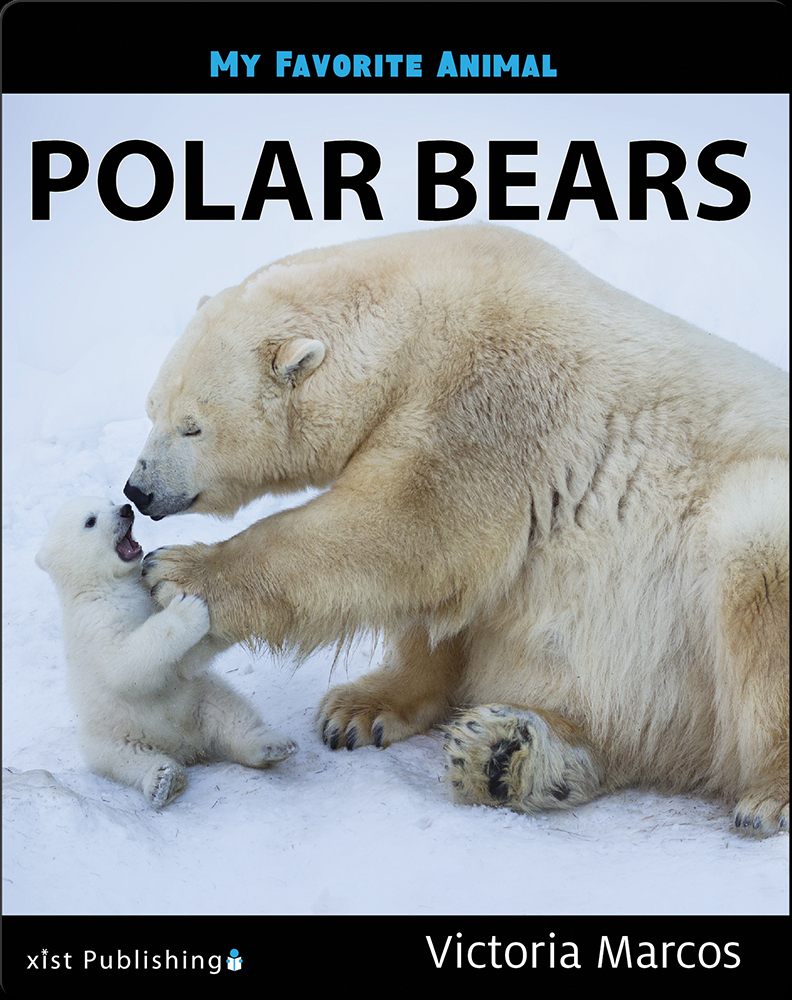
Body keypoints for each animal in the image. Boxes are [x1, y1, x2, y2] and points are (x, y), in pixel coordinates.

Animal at [35, 497, 298, 808]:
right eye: (90, 521)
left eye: (108, 502)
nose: (125, 509)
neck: (106, 584)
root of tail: (184, 745)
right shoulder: (95, 621)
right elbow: (124, 664)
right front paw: (188, 607)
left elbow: (183, 664)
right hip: (109, 734)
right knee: (123, 759)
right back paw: (163, 780)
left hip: (201, 698)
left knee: (231, 714)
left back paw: (273, 746)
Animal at [124, 224, 789, 834]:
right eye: (151, 408)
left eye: (192, 426)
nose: (138, 490)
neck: (416, 321)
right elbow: (445, 596)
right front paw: (360, 710)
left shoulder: (493, 397)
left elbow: (402, 529)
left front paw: (177, 572)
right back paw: (505, 754)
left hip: (737, 532)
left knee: (753, 566)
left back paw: (767, 796)